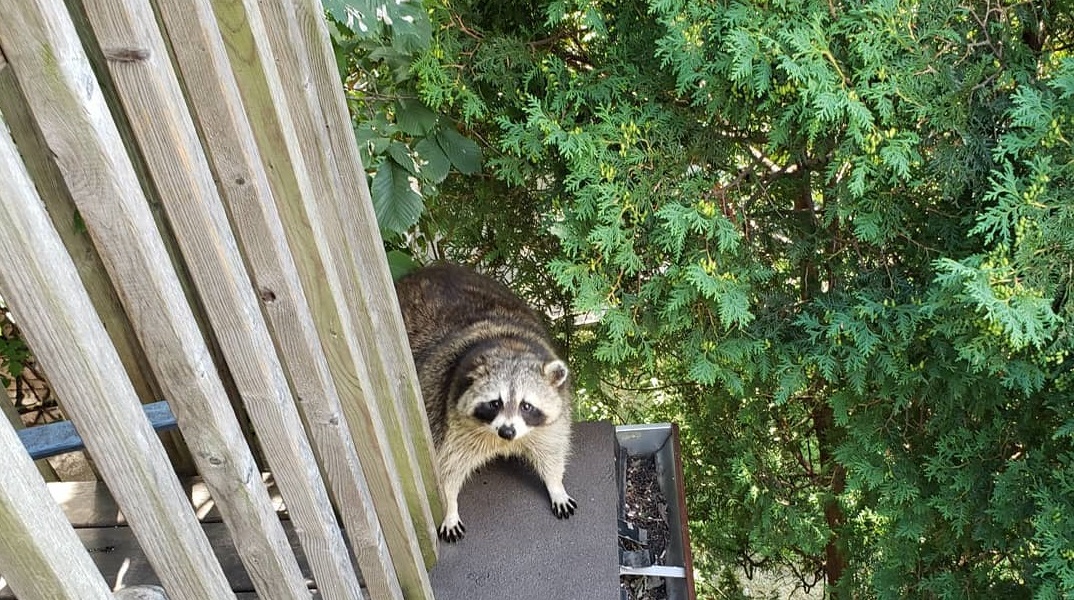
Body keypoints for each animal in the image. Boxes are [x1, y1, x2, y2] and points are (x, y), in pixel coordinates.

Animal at [396, 262, 577, 543]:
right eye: (495, 403)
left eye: (526, 405)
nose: (507, 431)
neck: (507, 343)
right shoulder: (442, 413)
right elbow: (443, 471)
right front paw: (449, 508)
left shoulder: (556, 413)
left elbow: (552, 449)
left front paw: (556, 485)